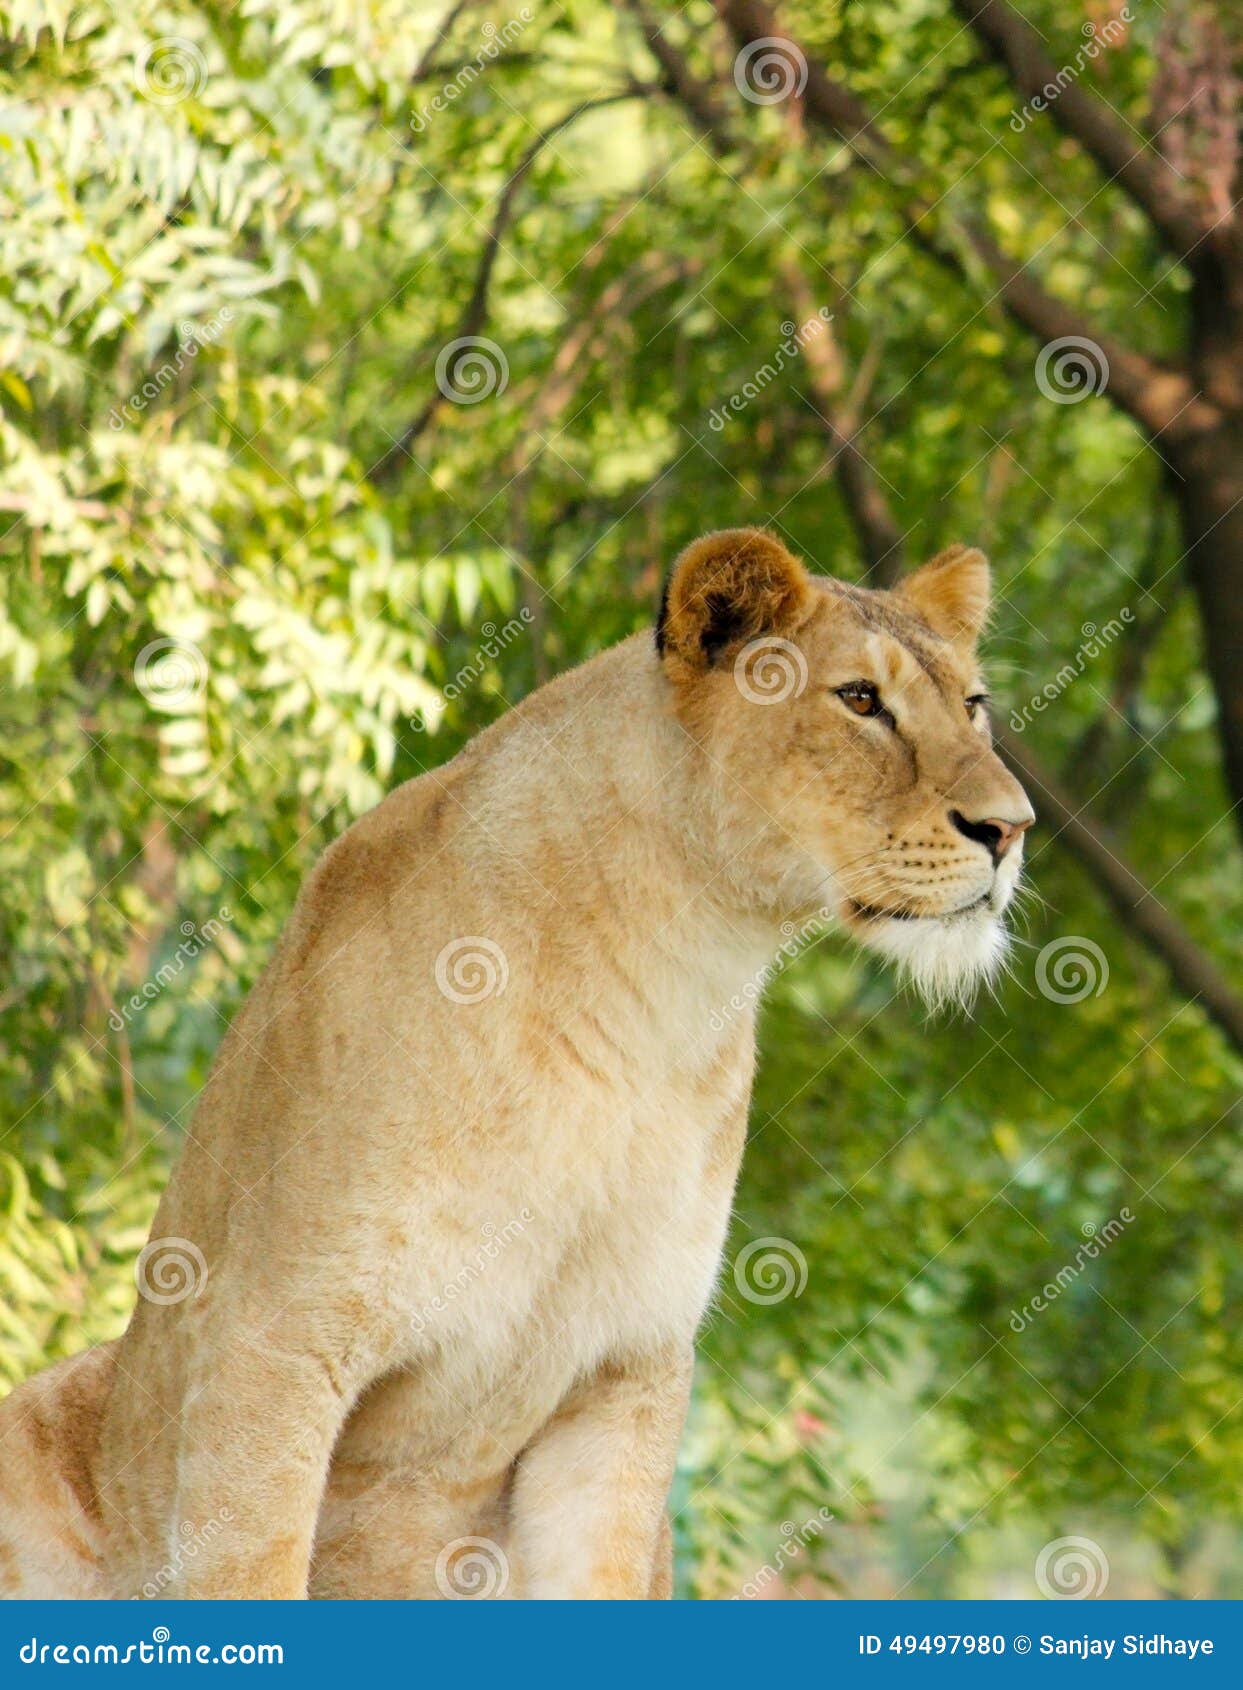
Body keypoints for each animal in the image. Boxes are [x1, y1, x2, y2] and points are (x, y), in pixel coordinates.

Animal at [0, 529, 1032, 1599]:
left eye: (971, 704)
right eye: (860, 701)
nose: (1012, 829)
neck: (668, 970)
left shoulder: (626, 1368)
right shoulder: (271, 1343)